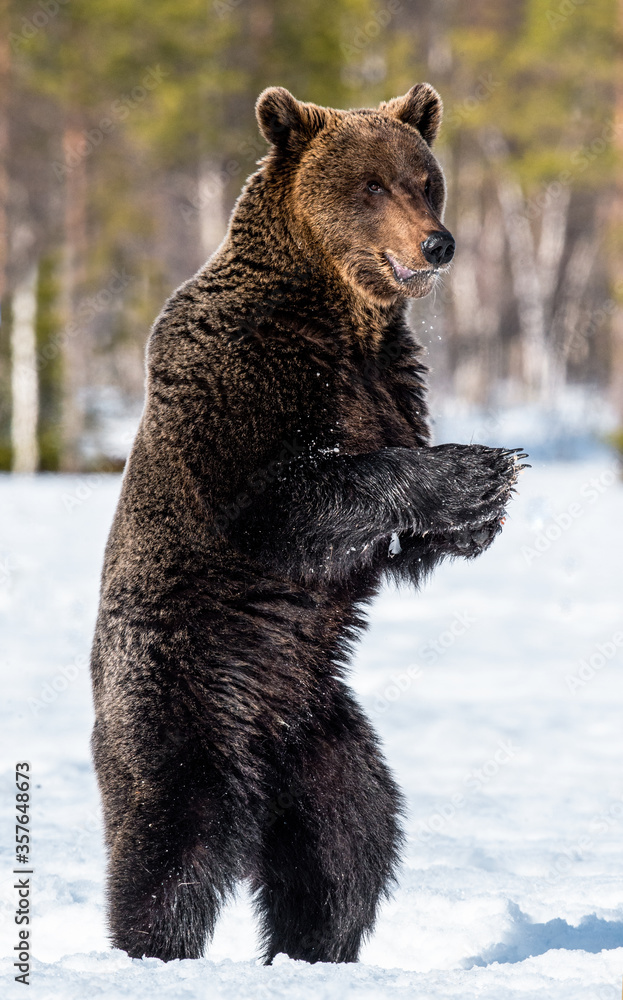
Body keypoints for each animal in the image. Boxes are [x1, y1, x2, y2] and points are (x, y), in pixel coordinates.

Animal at [90, 82, 526, 966]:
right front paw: (470, 467)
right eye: (371, 185)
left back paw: (313, 950)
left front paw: (482, 506)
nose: (438, 244)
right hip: (181, 699)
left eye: (425, 180)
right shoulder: (243, 378)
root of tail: (263, 750)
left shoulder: (389, 377)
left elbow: (394, 543)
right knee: (172, 845)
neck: (338, 311)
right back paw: (151, 949)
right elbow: (283, 504)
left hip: (325, 738)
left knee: (345, 848)